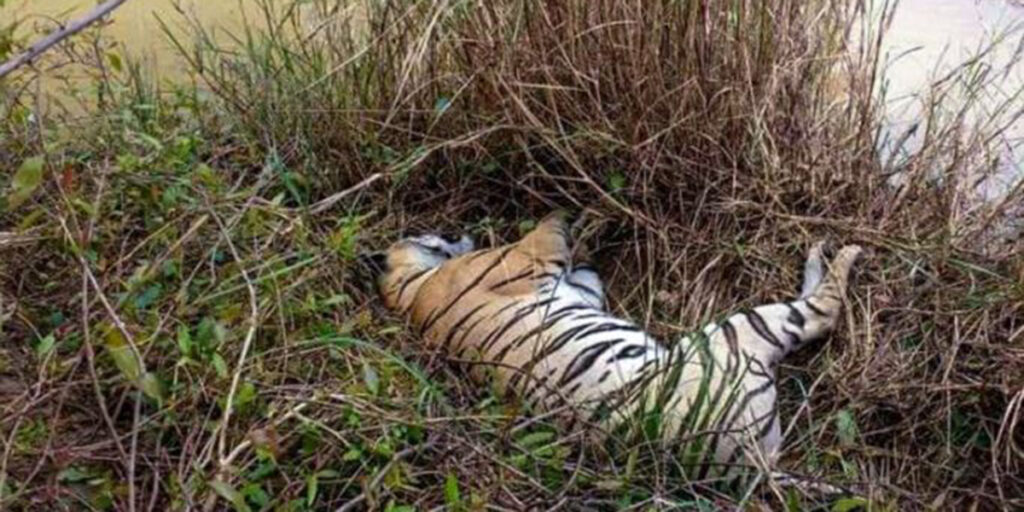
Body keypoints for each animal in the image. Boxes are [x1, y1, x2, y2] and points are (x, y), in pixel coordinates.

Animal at [361, 211, 862, 487]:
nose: (458, 231)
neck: (409, 293)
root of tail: (757, 467)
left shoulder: (578, 289)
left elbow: (584, 274)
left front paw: (593, 240)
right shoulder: (524, 258)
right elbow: (547, 229)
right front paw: (585, 215)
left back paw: (821, 250)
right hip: (734, 334)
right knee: (822, 310)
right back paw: (843, 252)